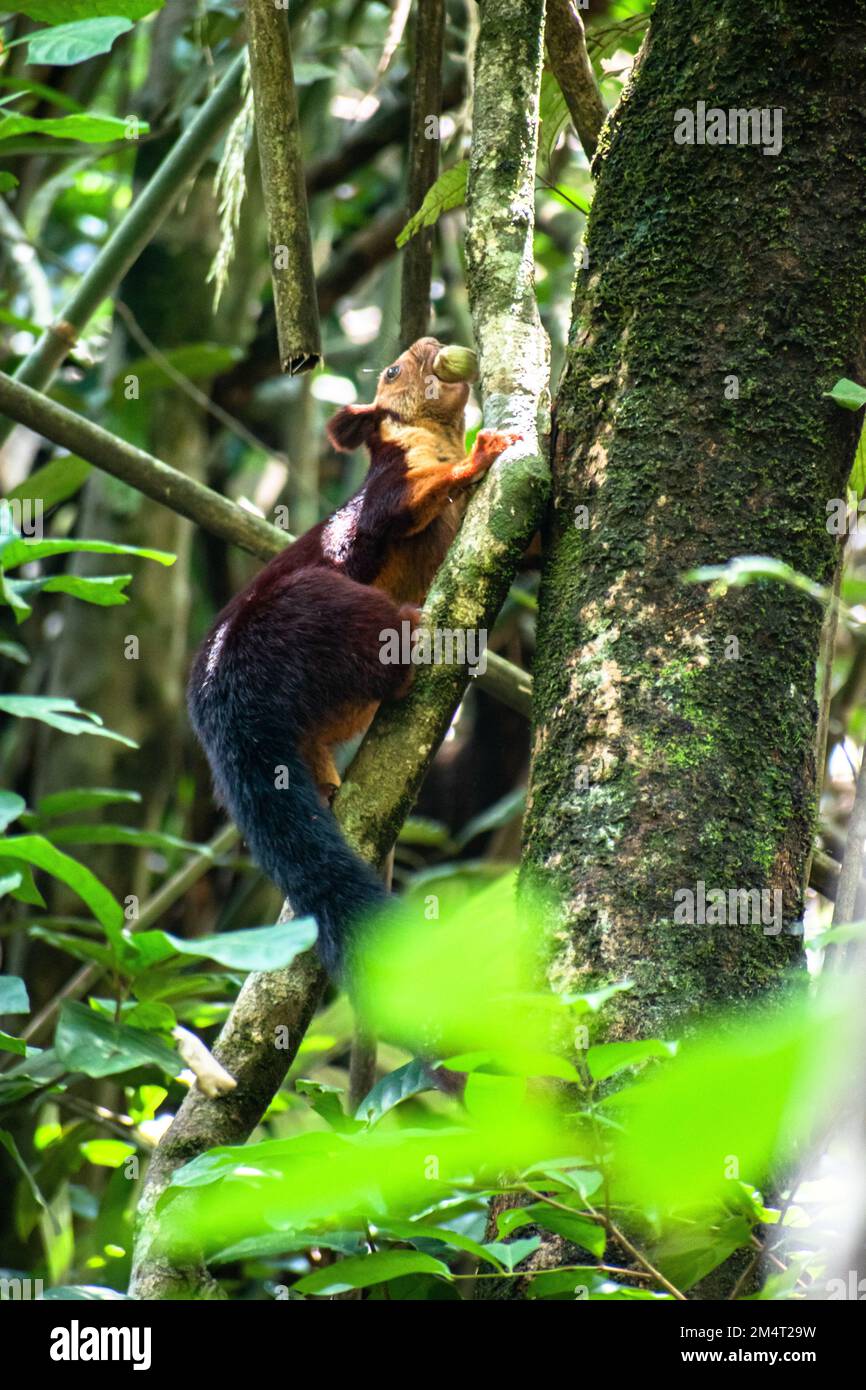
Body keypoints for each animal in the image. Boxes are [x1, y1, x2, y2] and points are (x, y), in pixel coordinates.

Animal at [188, 336, 519, 982]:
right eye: (392, 370)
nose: (431, 342)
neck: (433, 435)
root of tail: (221, 705)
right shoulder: (391, 482)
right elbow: (399, 508)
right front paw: (478, 457)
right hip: (307, 618)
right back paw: (412, 637)